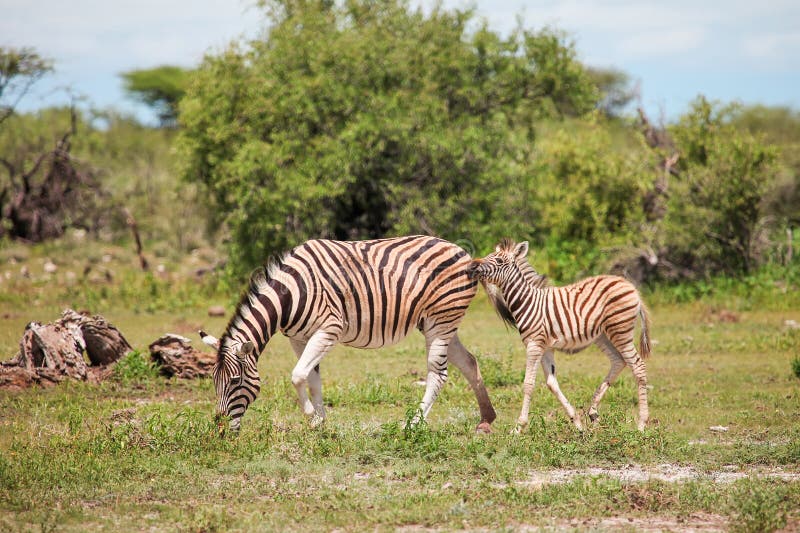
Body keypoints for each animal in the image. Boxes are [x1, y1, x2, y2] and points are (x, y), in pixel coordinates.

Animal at [200, 235, 497, 434]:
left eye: (235, 381)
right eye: (214, 381)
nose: (221, 429)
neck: (290, 295)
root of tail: (464, 253)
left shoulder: (328, 330)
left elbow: (297, 376)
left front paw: (312, 416)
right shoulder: (299, 338)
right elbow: (312, 379)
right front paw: (320, 423)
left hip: (440, 321)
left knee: (438, 374)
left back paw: (412, 424)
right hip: (440, 322)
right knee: (469, 362)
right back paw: (486, 420)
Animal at [467, 238, 652, 432]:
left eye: (499, 261)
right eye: (488, 255)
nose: (471, 267)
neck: (528, 302)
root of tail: (630, 286)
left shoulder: (534, 345)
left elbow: (528, 383)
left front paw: (518, 427)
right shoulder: (546, 347)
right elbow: (551, 384)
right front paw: (576, 422)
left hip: (620, 330)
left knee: (638, 365)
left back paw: (641, 424)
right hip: (603, 335)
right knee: (618, 361)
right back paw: (593, 412)